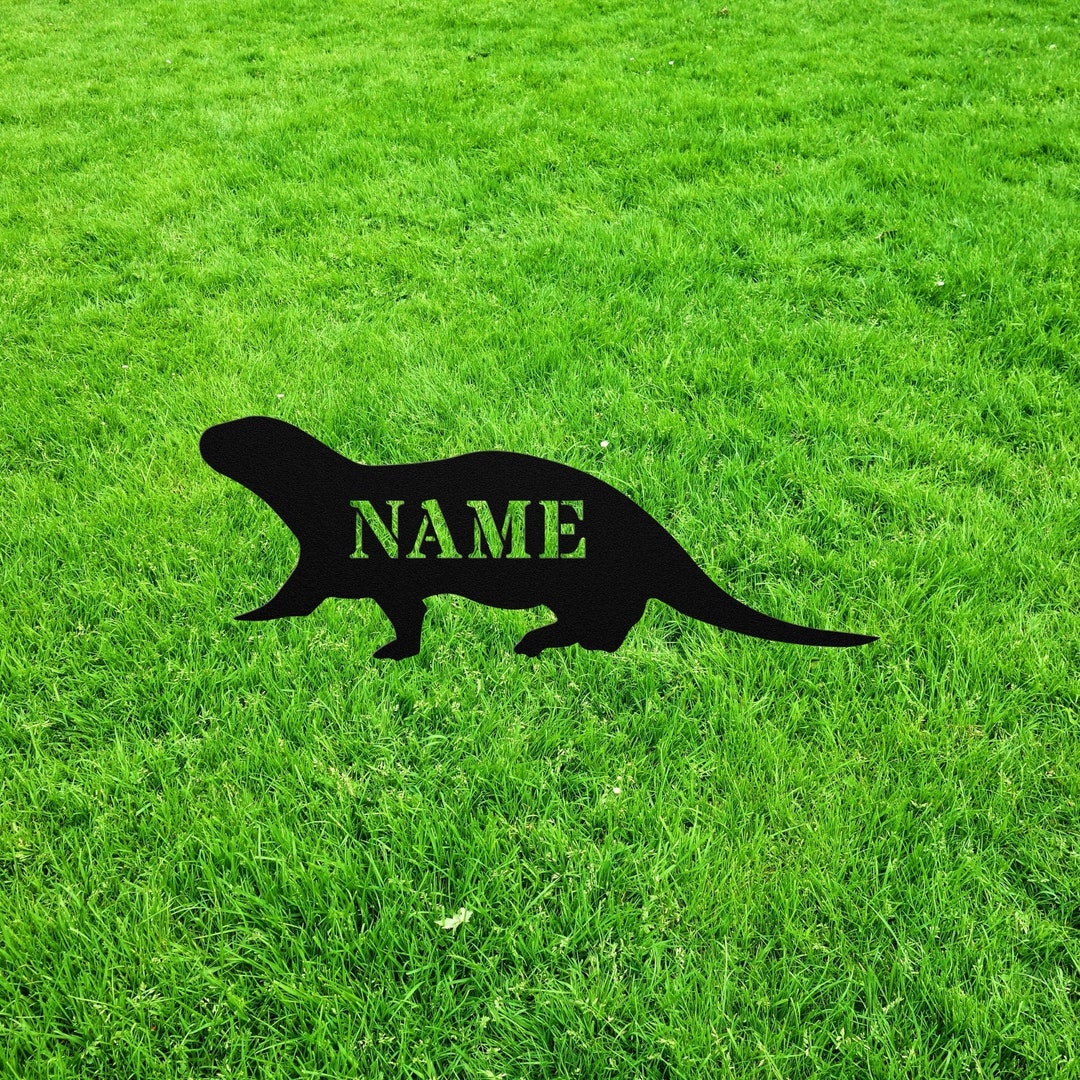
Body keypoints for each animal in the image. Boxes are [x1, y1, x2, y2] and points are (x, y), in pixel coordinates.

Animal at [200, 416, 876, 659]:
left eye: (238, 435)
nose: (204, 435)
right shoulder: (327, 565)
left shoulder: (359, 567)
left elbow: (393, 614)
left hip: (582, 578)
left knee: (613, 621)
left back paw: (544, 642)